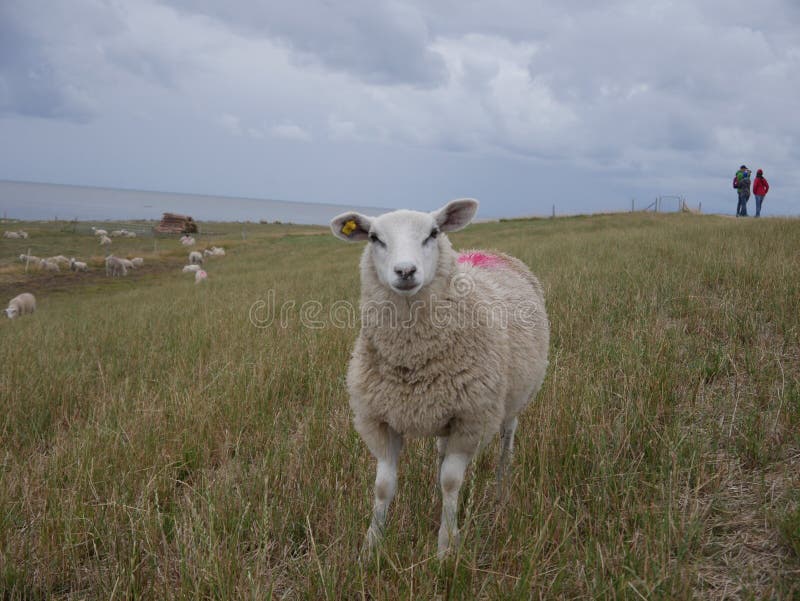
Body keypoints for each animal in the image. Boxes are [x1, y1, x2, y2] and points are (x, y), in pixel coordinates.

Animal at [330, 199, 550, 559]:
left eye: (433, 233)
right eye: (375, 238)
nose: (405, 271)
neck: (412, 357)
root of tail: (487, 252)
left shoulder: (472, 419)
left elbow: (451, 481)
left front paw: (446, 548)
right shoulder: (379, 420)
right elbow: (383, 487)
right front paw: (370, 547)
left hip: (513, 400)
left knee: (506, 443)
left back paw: (501, 490)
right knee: (440, 452)